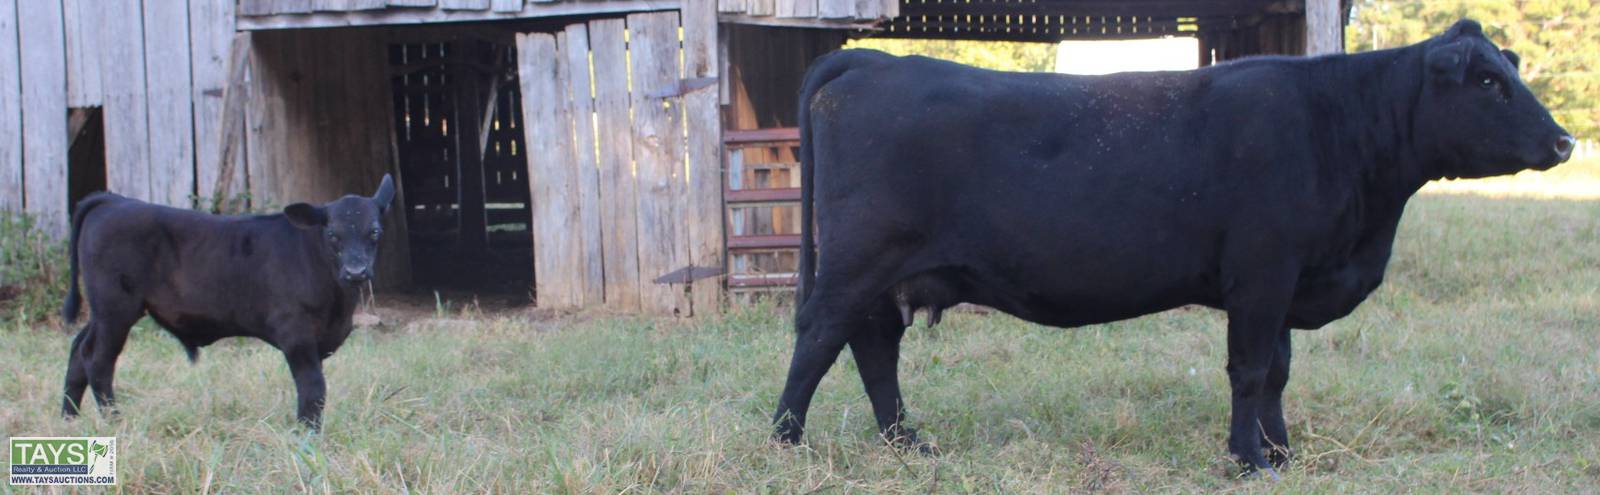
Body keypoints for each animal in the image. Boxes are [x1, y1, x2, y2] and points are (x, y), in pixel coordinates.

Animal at [59, 175, 397, 429]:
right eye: (332, 234)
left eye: (375, 231)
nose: (356, 271)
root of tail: (115, 201)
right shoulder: (295, 332)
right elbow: (314, 387)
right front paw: (308, 434)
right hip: (115, 310)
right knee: (98, 361)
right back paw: (114, 421)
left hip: (103, 313)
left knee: (78, 350)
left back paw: (69, 419)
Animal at [772, 19, 1575, 478]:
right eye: (1487, 80)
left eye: (1508, 70)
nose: (1565, 140)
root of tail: (869, 60)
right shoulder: (1262, 271)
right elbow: (1249, 370)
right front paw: (1248, 460)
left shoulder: (1286, 279)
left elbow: (1278, 371)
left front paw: (1283, 453)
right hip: (858, 260)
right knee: (819, 336)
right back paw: (786, 440)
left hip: (886, 274)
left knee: (873, 348)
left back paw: (908, 444)